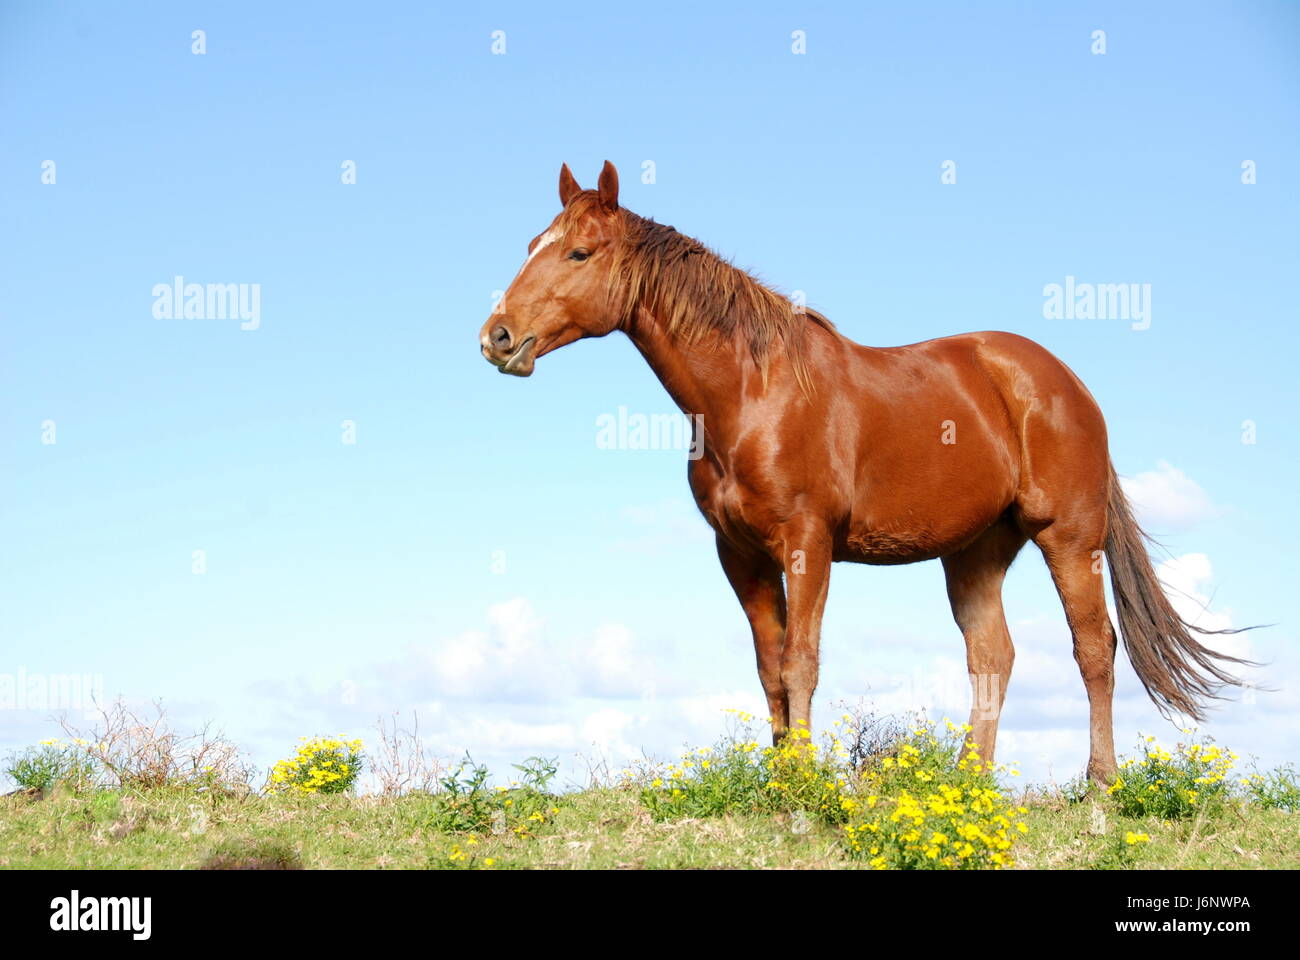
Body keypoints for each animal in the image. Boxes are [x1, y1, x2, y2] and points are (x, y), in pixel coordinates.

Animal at [478, 161, 1250, 782]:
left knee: (1094, 650)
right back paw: (967, 785)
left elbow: (801, 662)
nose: (497, 337)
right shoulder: (739, 555)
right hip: (976, 553)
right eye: (531, 245)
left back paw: (1101, 787)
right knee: (993, 657)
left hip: (1069, 536)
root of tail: (1068, 385)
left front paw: (805, 788)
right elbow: (769, 668)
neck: (754, 392)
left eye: (579, 252)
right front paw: (781, 781)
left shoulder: (807, 543)